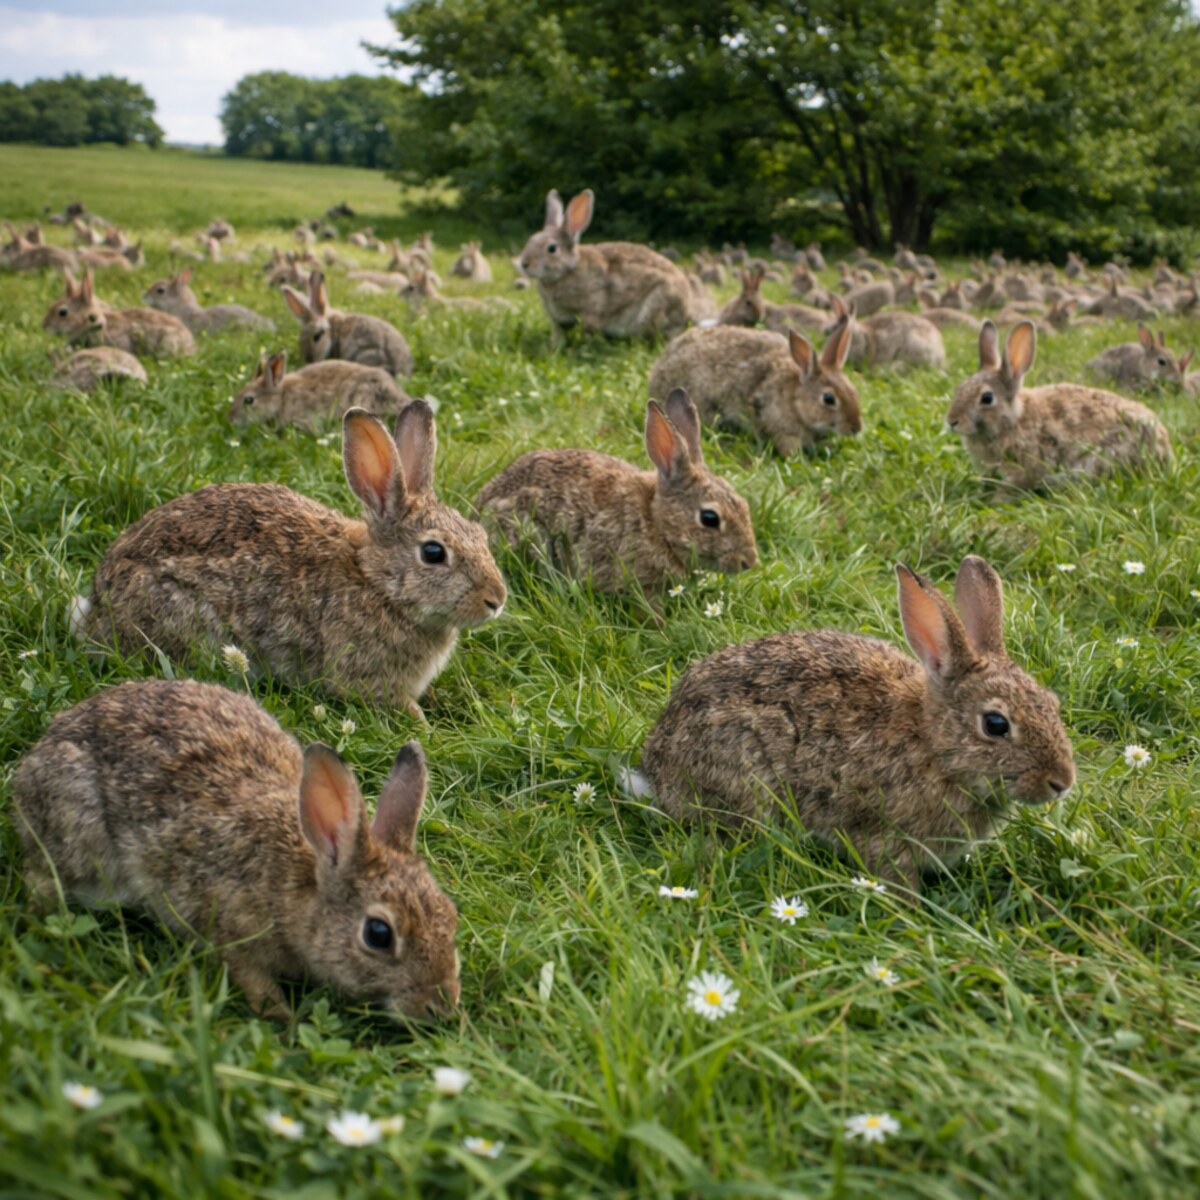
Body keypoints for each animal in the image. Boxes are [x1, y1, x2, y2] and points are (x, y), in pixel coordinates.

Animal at [12, 679, 460, 1022]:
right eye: (378, 934)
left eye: (451, 916)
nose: (441, 1007)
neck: (296, 875)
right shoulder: (230, 932)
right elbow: (254, 981)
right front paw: (283, 1019)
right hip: (78, 834)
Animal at [74, 403, 506, 718]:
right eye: (434, 553)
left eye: (481, 537)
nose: (497, 599)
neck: (376, 581)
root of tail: (97, 607)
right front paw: (421, 720)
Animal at [519, 188, 701, 344]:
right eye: (530, 239)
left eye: (552, 248)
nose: (524, 264)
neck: (566, 271)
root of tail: (687, 309)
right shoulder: (556, 319)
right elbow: (558, 334)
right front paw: (555, 347)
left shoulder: (591, 310)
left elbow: (589, 329)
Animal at [631, 556, 1076, 893]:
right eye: (996, 724)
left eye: (1053, 703)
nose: (1062, 782)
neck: (934, 748)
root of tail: (657, 769)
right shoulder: (885, 838)